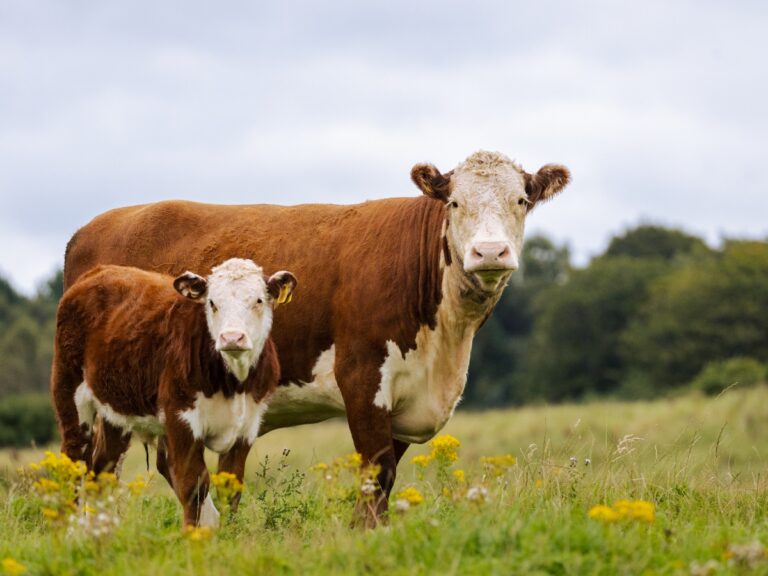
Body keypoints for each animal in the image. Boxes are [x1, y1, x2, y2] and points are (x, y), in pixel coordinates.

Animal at [51, 258, 297, 526]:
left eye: (258, 300)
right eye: (212, 303)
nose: (232, 337)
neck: (233, 383)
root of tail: (100, 271)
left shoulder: (247, 426)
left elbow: (231, 488)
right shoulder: (181, 418)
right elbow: (193, 485)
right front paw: (193, 534)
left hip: (116, 411)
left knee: (102, 469)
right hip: (70, 393)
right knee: (72, 462)